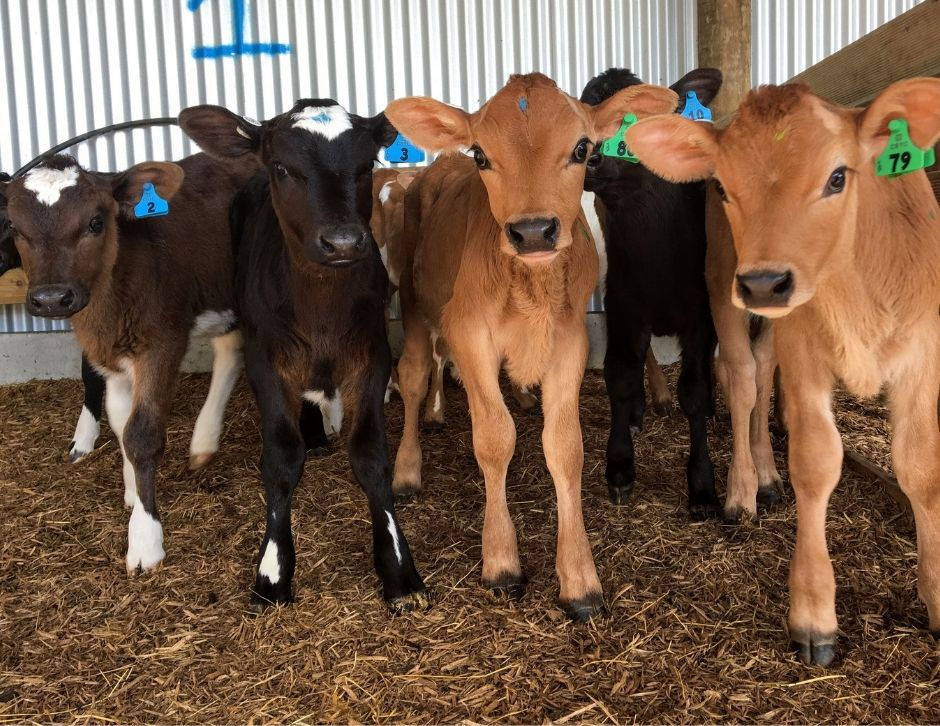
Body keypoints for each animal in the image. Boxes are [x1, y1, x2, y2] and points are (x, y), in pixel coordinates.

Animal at [0, 152, 257, 573]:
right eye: (13, 226)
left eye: (96, 222)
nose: (52, 298)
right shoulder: (110, 353)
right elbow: (120, 424)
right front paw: (134, 492)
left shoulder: (162, 341)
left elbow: (141, 434)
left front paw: (145, 538)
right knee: (230, 348)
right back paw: (204, 440)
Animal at [178, 100, 427, 612]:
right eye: (282, 167)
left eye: (365, 164)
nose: (343, 242)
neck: (321, 311)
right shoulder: (268, 363)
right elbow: (280, 459)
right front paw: (273, 570)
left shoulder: (372, 356)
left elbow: (371, 454)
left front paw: (398, 570)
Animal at [386, 73, 677, 619]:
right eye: (482, 155)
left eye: (582, 148)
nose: (533, 231)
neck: (531, 290)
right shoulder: (470, 334)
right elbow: (494, 438)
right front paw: (501, 561)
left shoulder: (570, 340)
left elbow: (564, 447)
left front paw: (580, 579)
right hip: (413, 304)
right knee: (413, 375)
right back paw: (407, 467)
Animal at [581, 67, 725, 518]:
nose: (588, 156)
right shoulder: (622, 304)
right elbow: (620, 377)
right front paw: (620, 468)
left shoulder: (702, 316)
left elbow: (693, 391)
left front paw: (702, 486)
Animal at [625, 78, 940, 665]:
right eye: (724, 186)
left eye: (838, 176)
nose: (765, 283)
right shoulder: (804, 355)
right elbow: (815, 463)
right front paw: (814, 616)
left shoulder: (922, 358)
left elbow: (920, 468)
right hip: (723, 287)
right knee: (744, 379)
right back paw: (744, 489)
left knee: (759, 371)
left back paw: (766, 475)